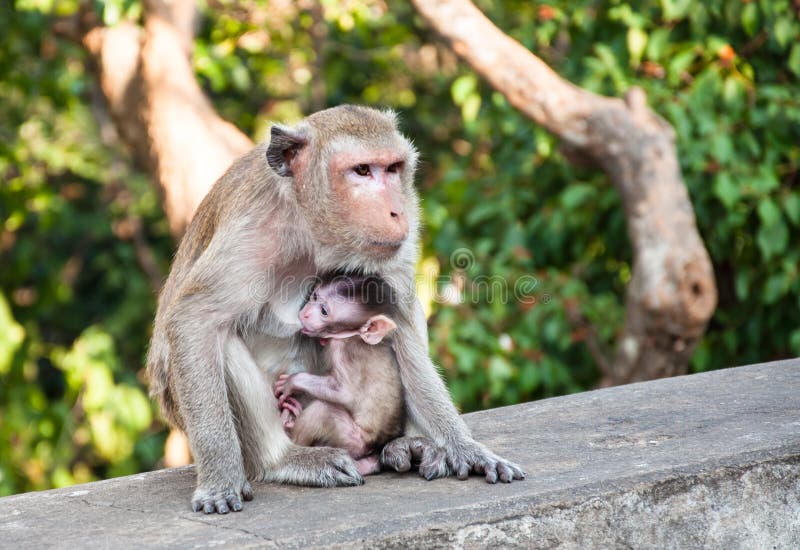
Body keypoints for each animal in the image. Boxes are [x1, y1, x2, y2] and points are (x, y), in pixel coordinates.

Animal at [273, 274, 405, 476]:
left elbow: (344, 392)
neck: (351, 335)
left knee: (323, 411)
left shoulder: (344, 353)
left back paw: (289, 432)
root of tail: (376, 446)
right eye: (314, 296)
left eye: (324, 311)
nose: (305, 314)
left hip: (354, 442)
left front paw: (292, 381)